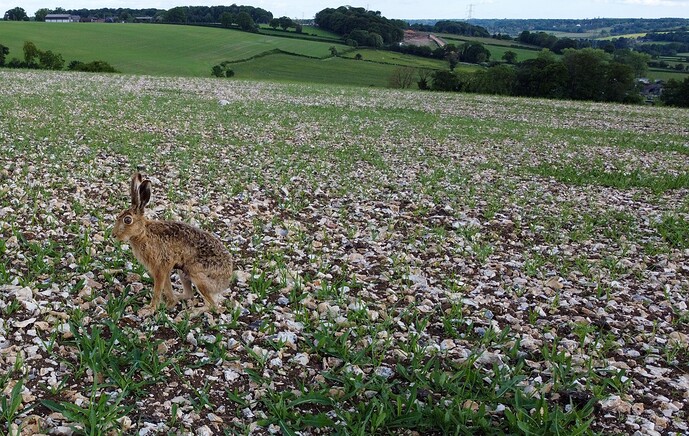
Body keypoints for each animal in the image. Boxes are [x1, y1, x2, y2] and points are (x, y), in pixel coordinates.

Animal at [112, 172, 234, 315]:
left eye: (127, 220)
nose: (113, 235)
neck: (143, 233)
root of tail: (225, 281)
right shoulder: (163, 269)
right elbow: (166, 286)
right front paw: (170, 302)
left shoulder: (160, 267)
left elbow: (158, 289)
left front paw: (150, 309)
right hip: (184, 273)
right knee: (189, 294)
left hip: (197, 275)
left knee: (212, 305)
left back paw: (191, 312)